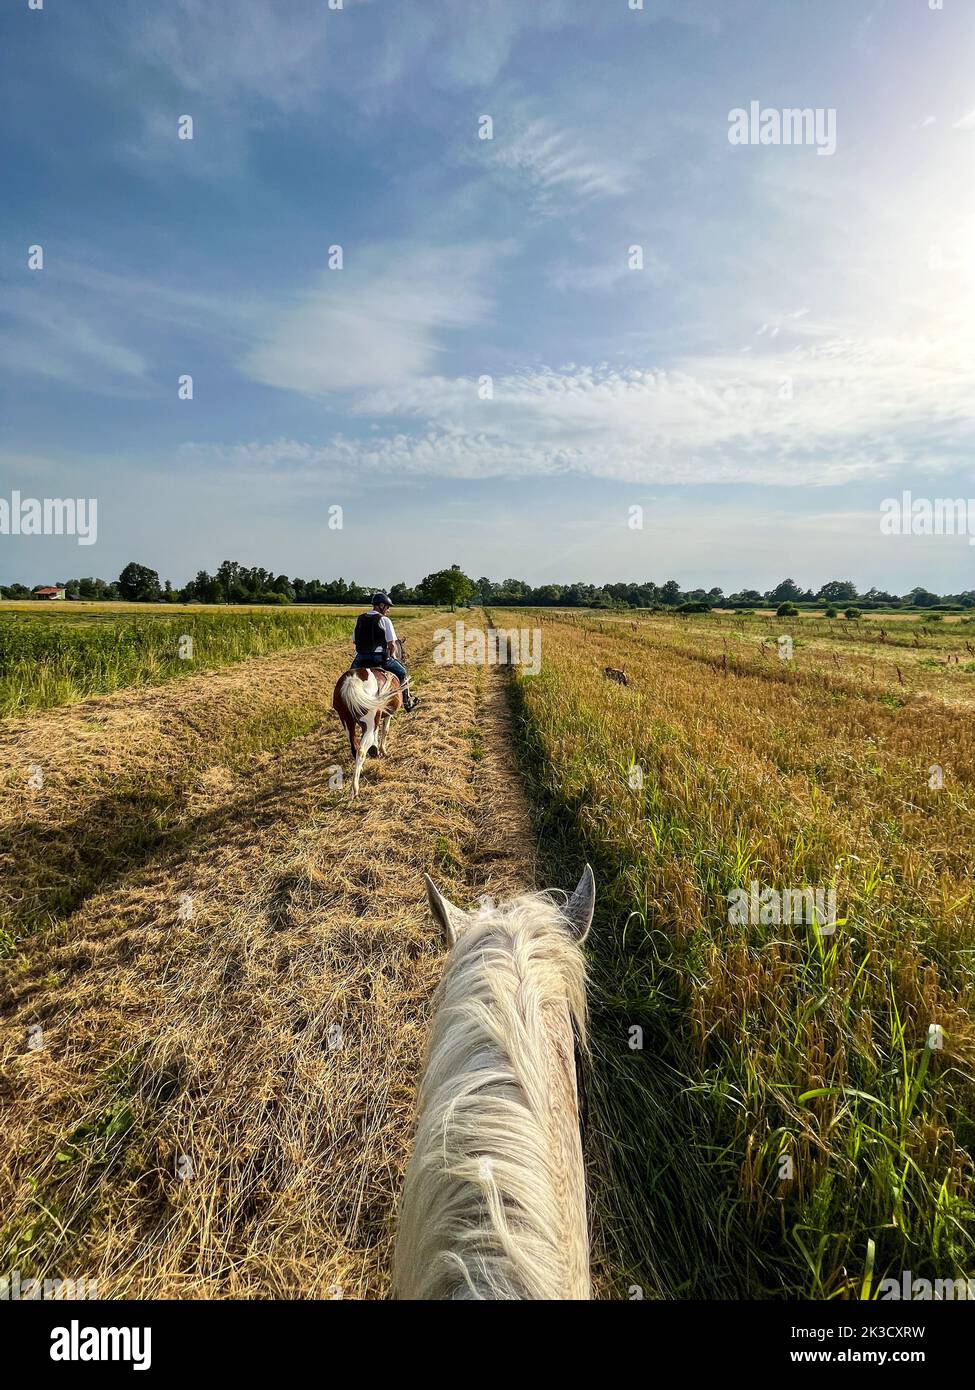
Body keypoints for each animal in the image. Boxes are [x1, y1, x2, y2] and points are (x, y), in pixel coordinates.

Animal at [332, 667, 403, 797]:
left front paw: (376, 750)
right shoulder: (387, 715)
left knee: (354, 748)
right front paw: (383, 751)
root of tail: (352, 680)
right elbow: (385, 730)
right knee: (361, 751)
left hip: (347, 723)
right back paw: (355, 788)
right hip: (369, 724)